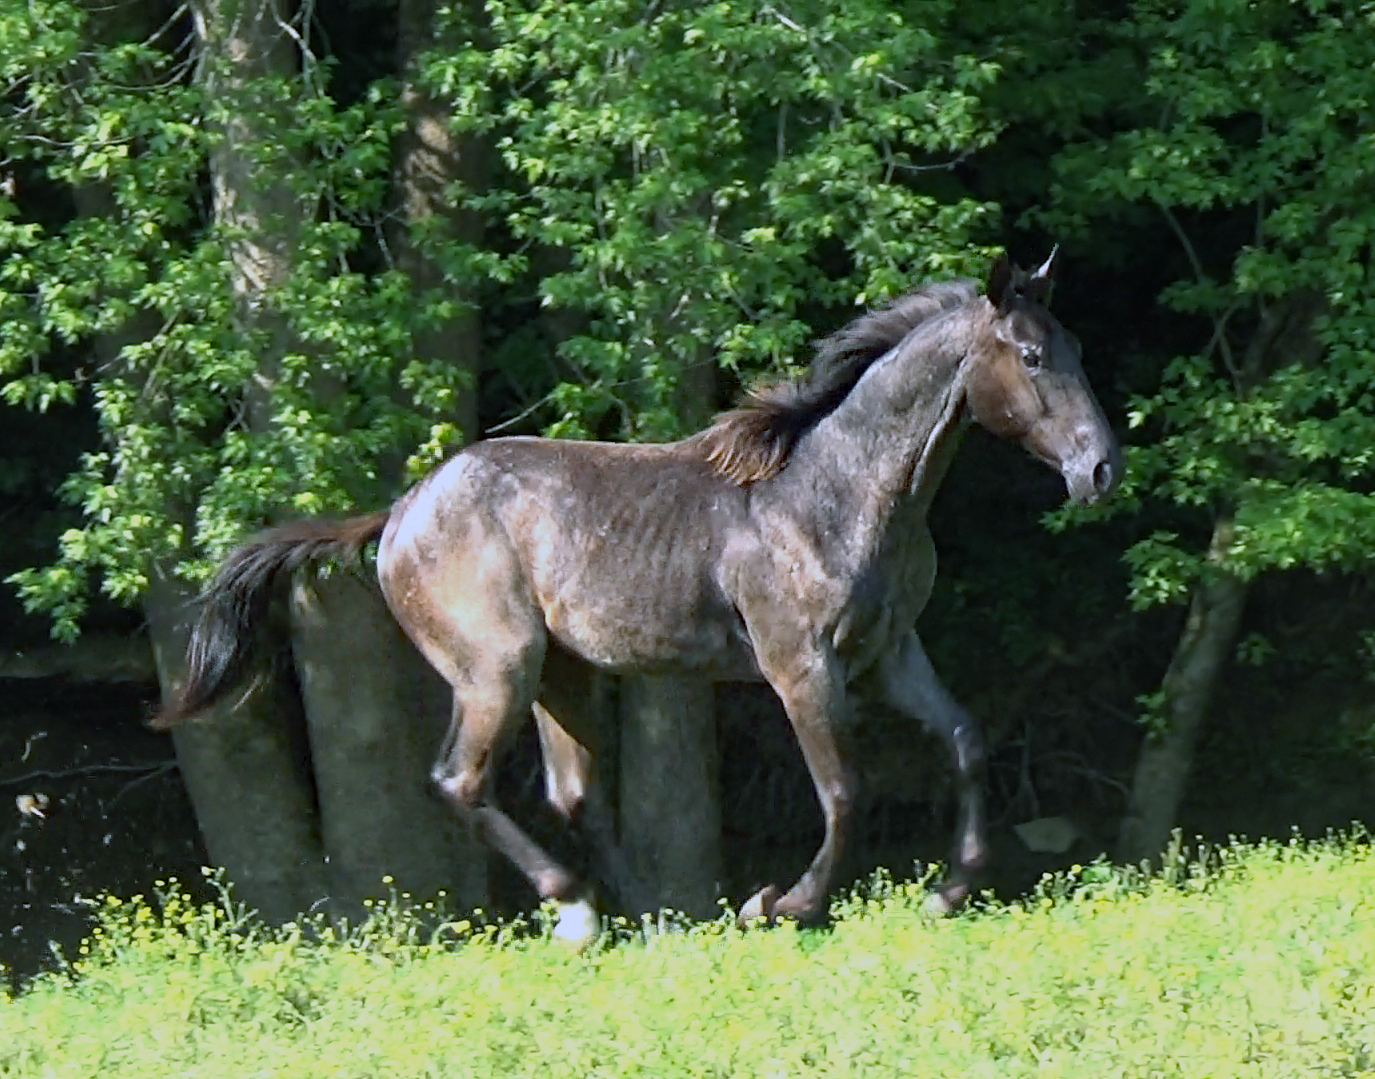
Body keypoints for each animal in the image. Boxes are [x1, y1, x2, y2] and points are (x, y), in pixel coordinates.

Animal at [154, 251, 1120, 943]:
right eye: (1031, 355)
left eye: (1076, 350)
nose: (1098, 470)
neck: (838, 492)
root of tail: (399, 513)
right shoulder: (799, 668)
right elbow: (843, 790)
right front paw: (780, 903)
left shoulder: (887, 654)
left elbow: (962, 740)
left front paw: (949, 890)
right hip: (497, 668)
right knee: (460, 779)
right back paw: (576, 910)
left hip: (565, 675)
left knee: (572, 792)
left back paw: (650, 919)